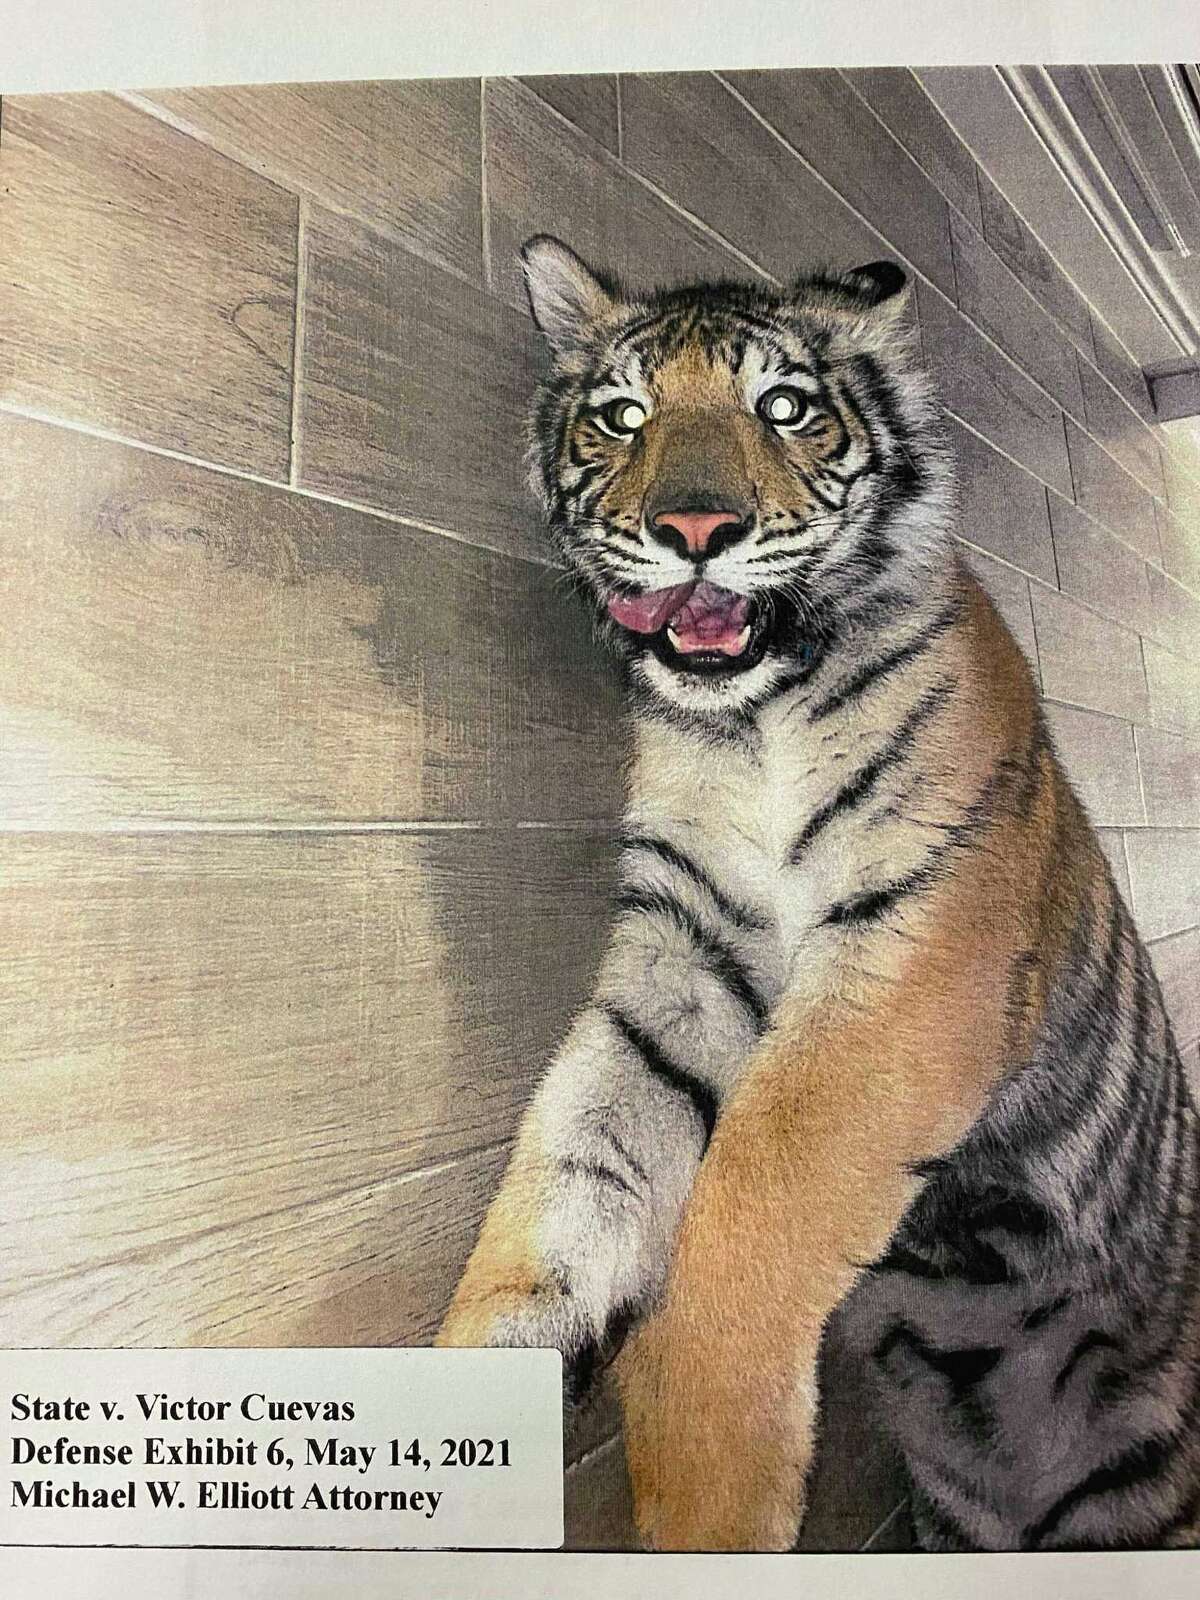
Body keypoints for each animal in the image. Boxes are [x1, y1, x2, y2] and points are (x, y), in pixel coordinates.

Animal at [435, 234, 1200, 1553]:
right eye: (622, 417)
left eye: (784, 408)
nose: (694, 526)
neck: (754, 719)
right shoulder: (682, 955)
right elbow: (566, 1180)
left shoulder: (922, 951)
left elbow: (760, 1192)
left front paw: (704, 1498)